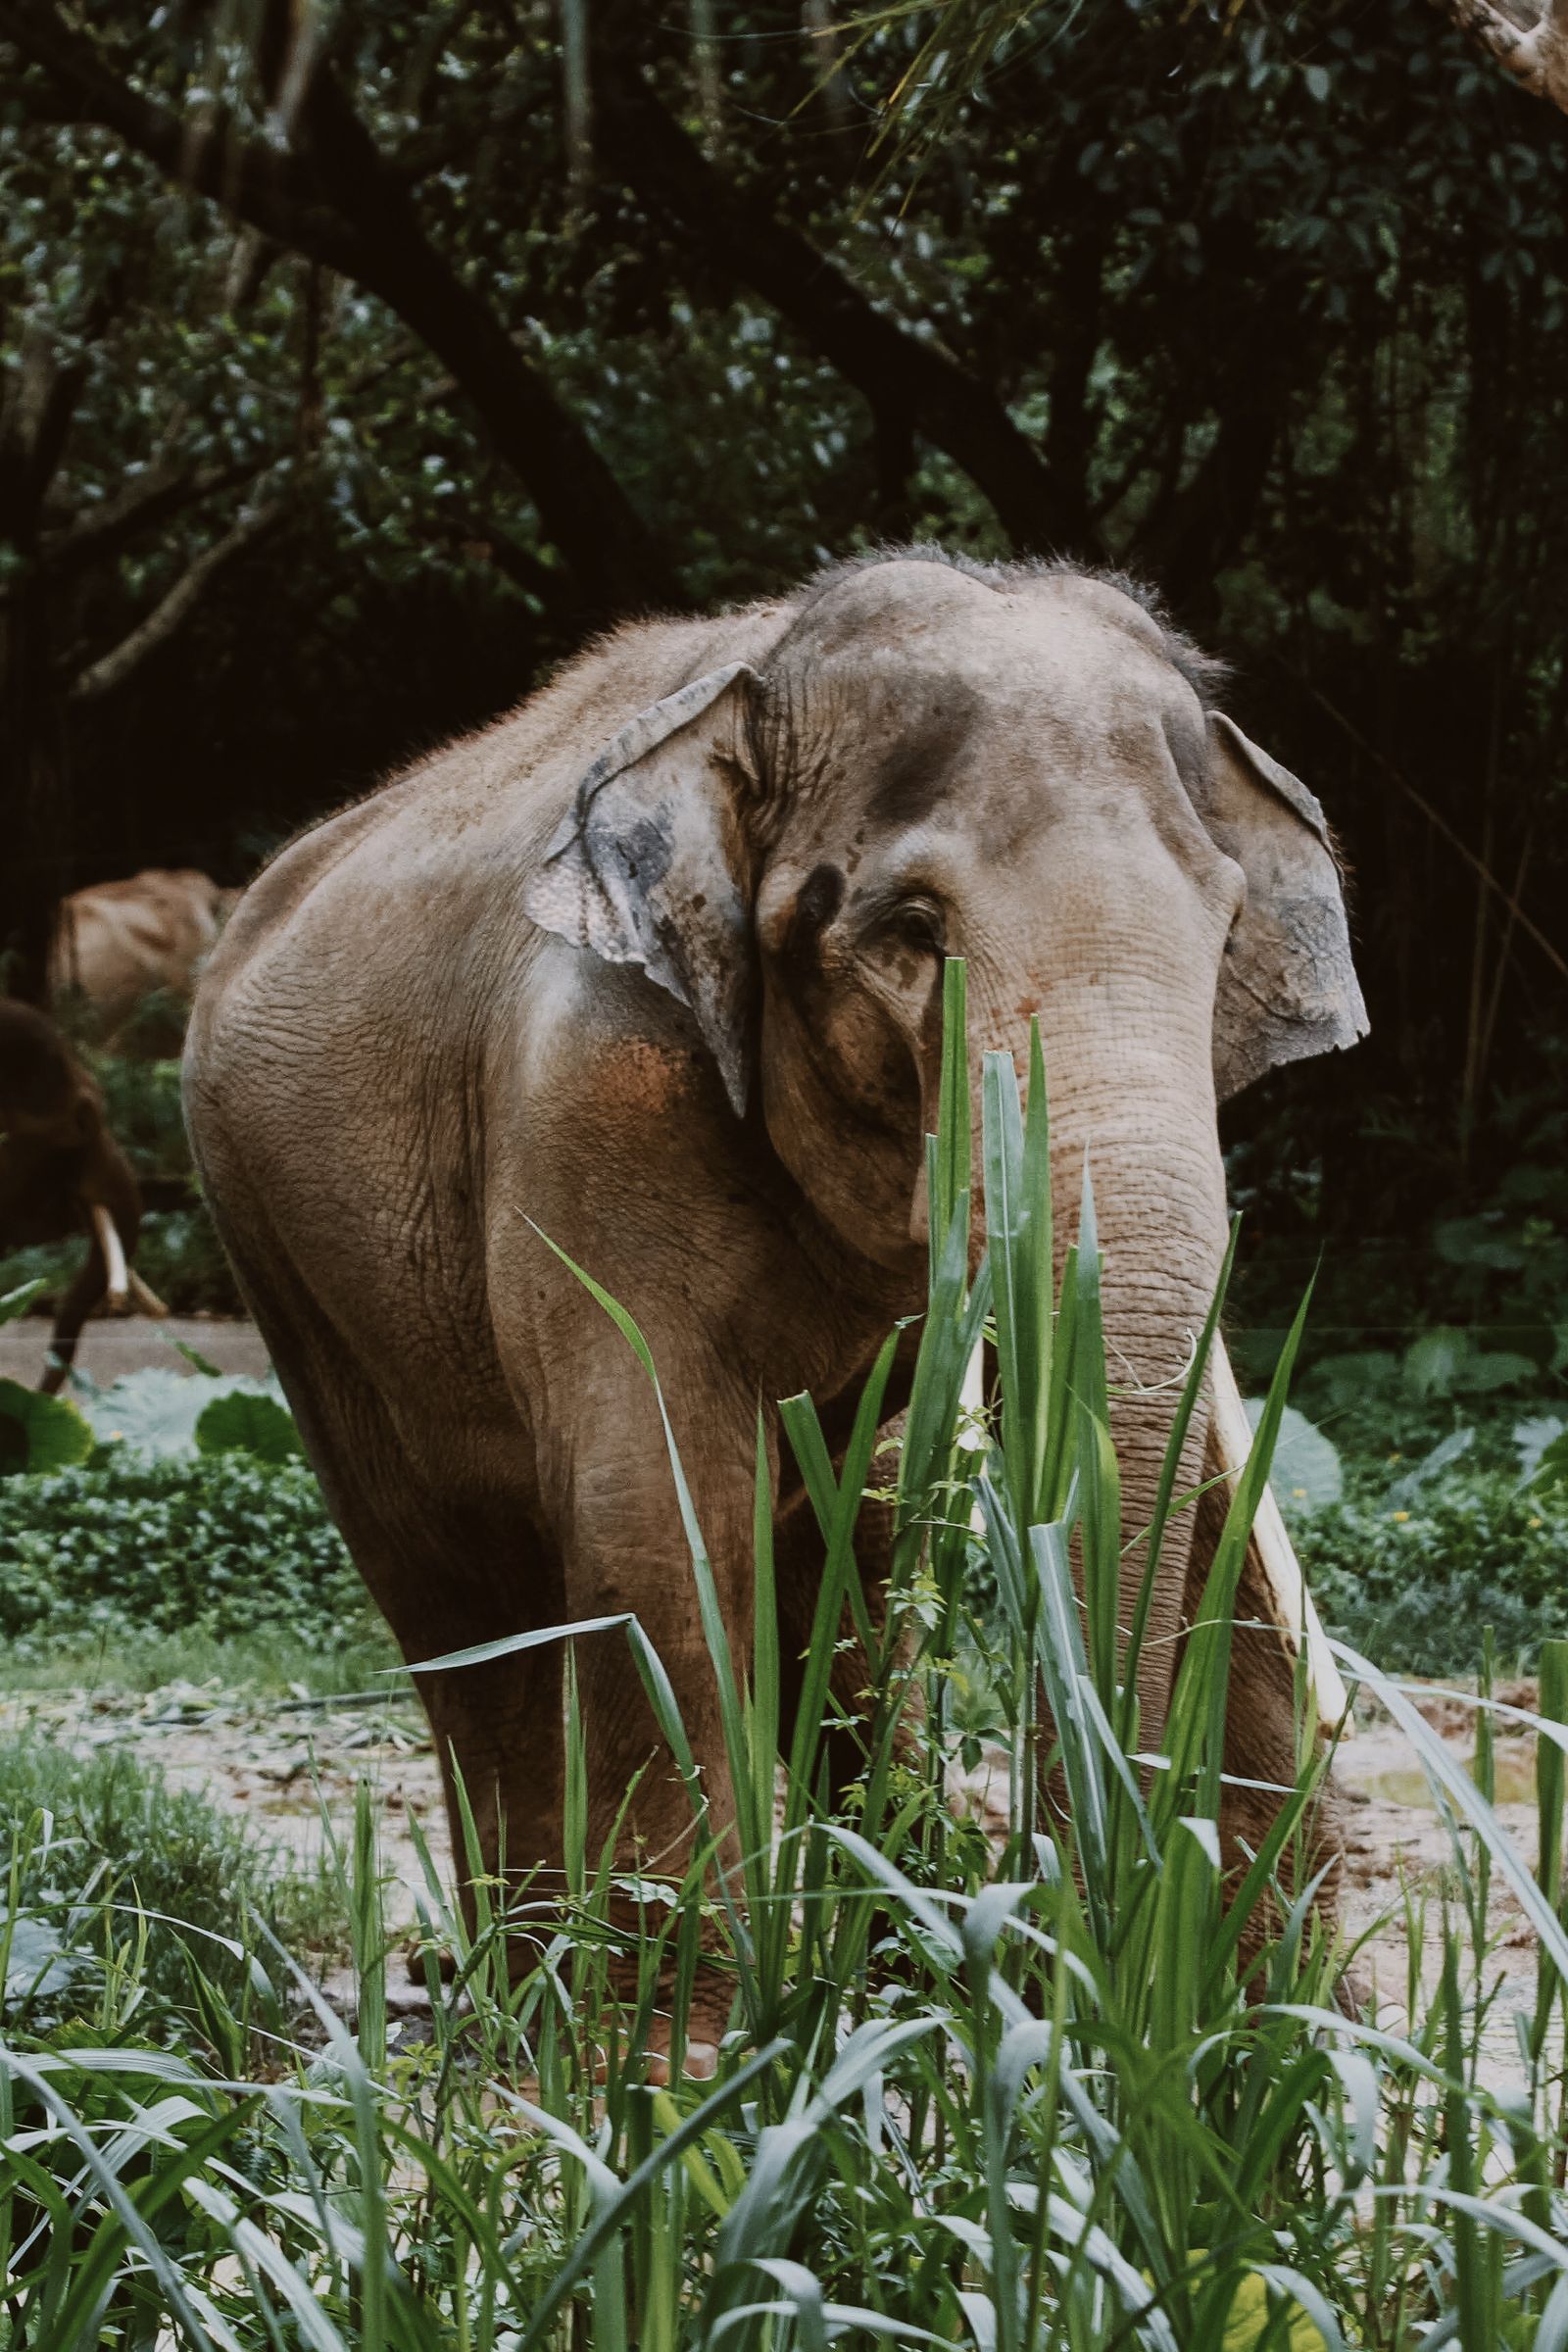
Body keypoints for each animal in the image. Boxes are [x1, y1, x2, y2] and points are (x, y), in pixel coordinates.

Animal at [184, 549, 1366, 2038]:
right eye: (913, 929)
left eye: (1222, 938)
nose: (1070, 1934)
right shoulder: (586, 1088)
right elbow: (659, 1510)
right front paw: (687, 2056)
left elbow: (1195, 1500)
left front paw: (1247, 2031)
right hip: (279, 1256)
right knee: (467, 1605)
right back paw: (532, 2012)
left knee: (841, 1547)